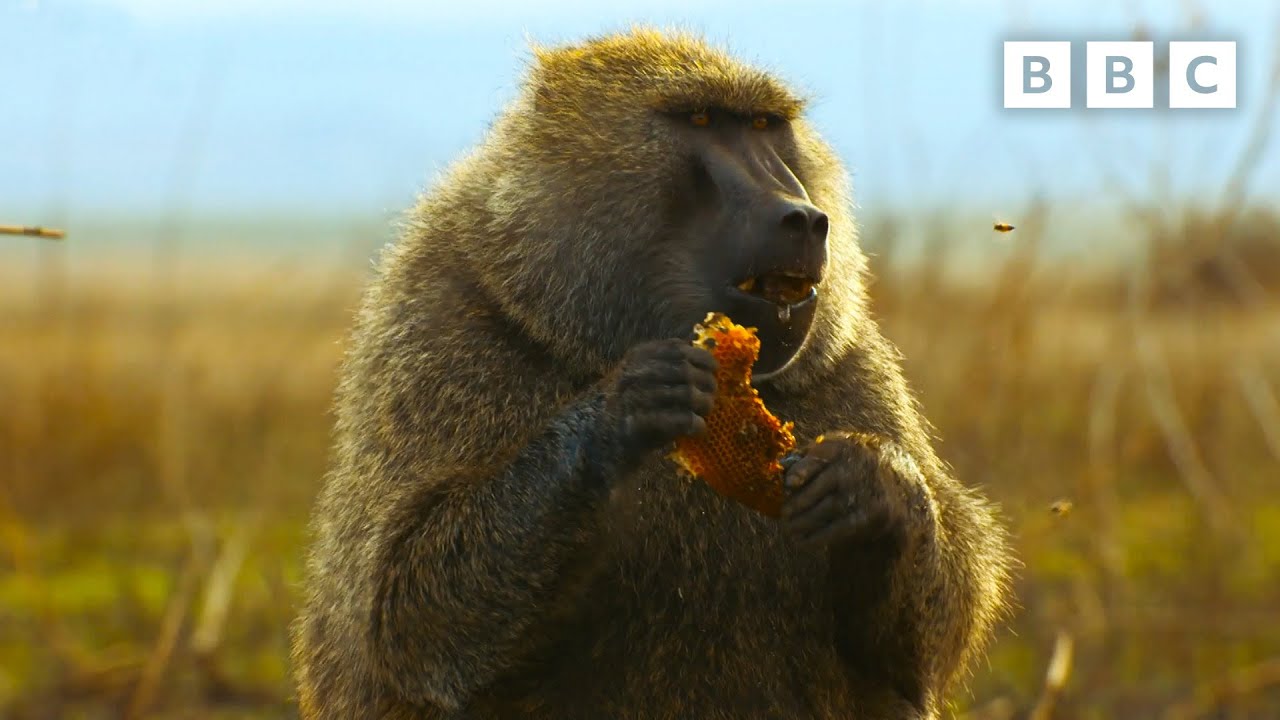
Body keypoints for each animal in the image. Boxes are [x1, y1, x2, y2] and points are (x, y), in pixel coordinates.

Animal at [291, 27, 1012, 720]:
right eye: (700, 119)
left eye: (763, 126)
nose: (802, 215)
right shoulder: (435, 320)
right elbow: (390, 618)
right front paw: (620, 413)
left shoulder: (846, 358)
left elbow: (922, 651)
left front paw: (873, 486)